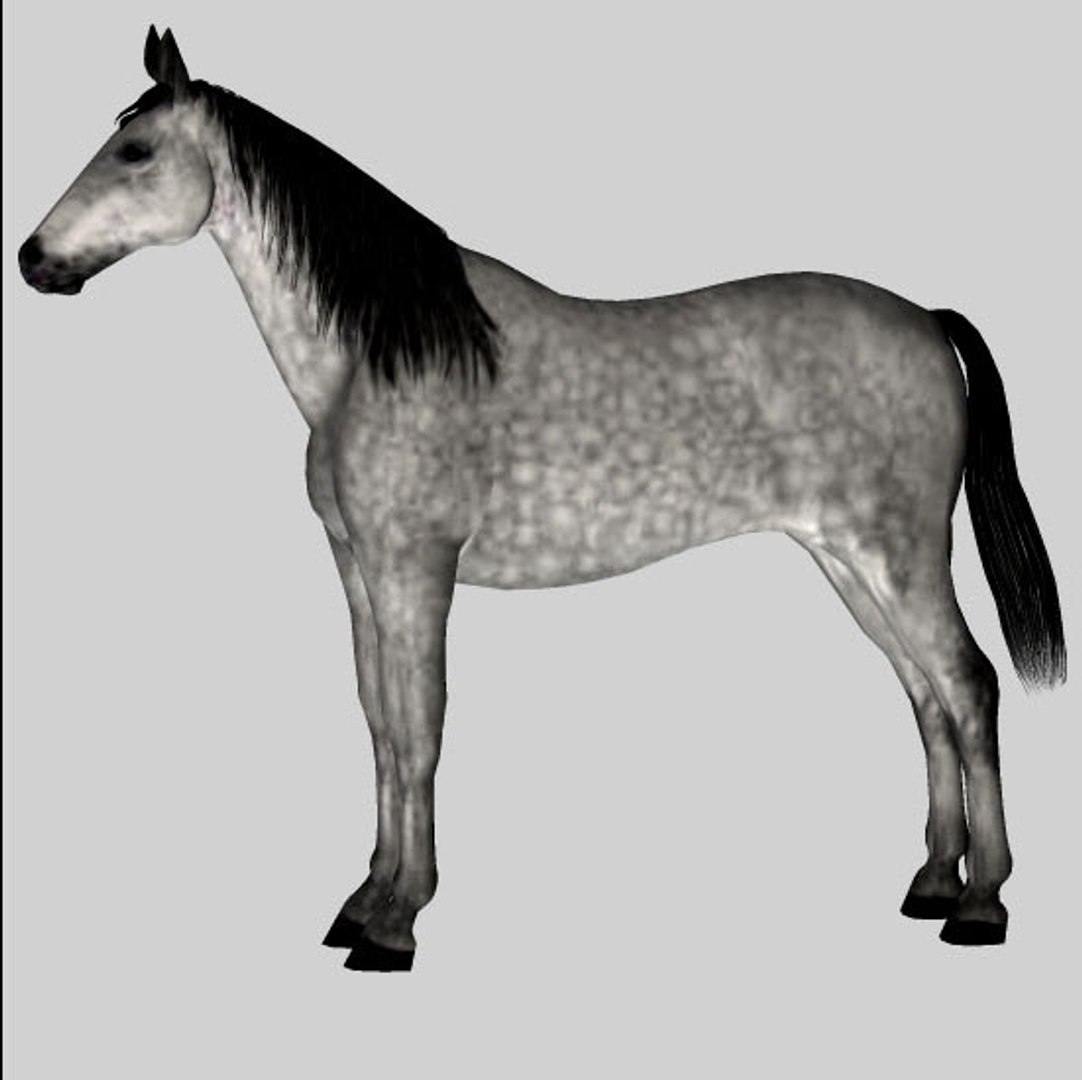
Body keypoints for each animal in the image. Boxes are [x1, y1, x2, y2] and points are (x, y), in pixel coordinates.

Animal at [18, 26, 1066, 971]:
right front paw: (360, 902)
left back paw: (981, 906)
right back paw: (930, 886)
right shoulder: (359, 572)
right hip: (846, 561)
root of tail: (924, 320)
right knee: (927, 698)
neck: (379, 356)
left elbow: (422, 730)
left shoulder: (417, 573)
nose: (33, 259)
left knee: (969, 684)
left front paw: (396, 924)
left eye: (135, 151)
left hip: (899, 555)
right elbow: (381, 728)